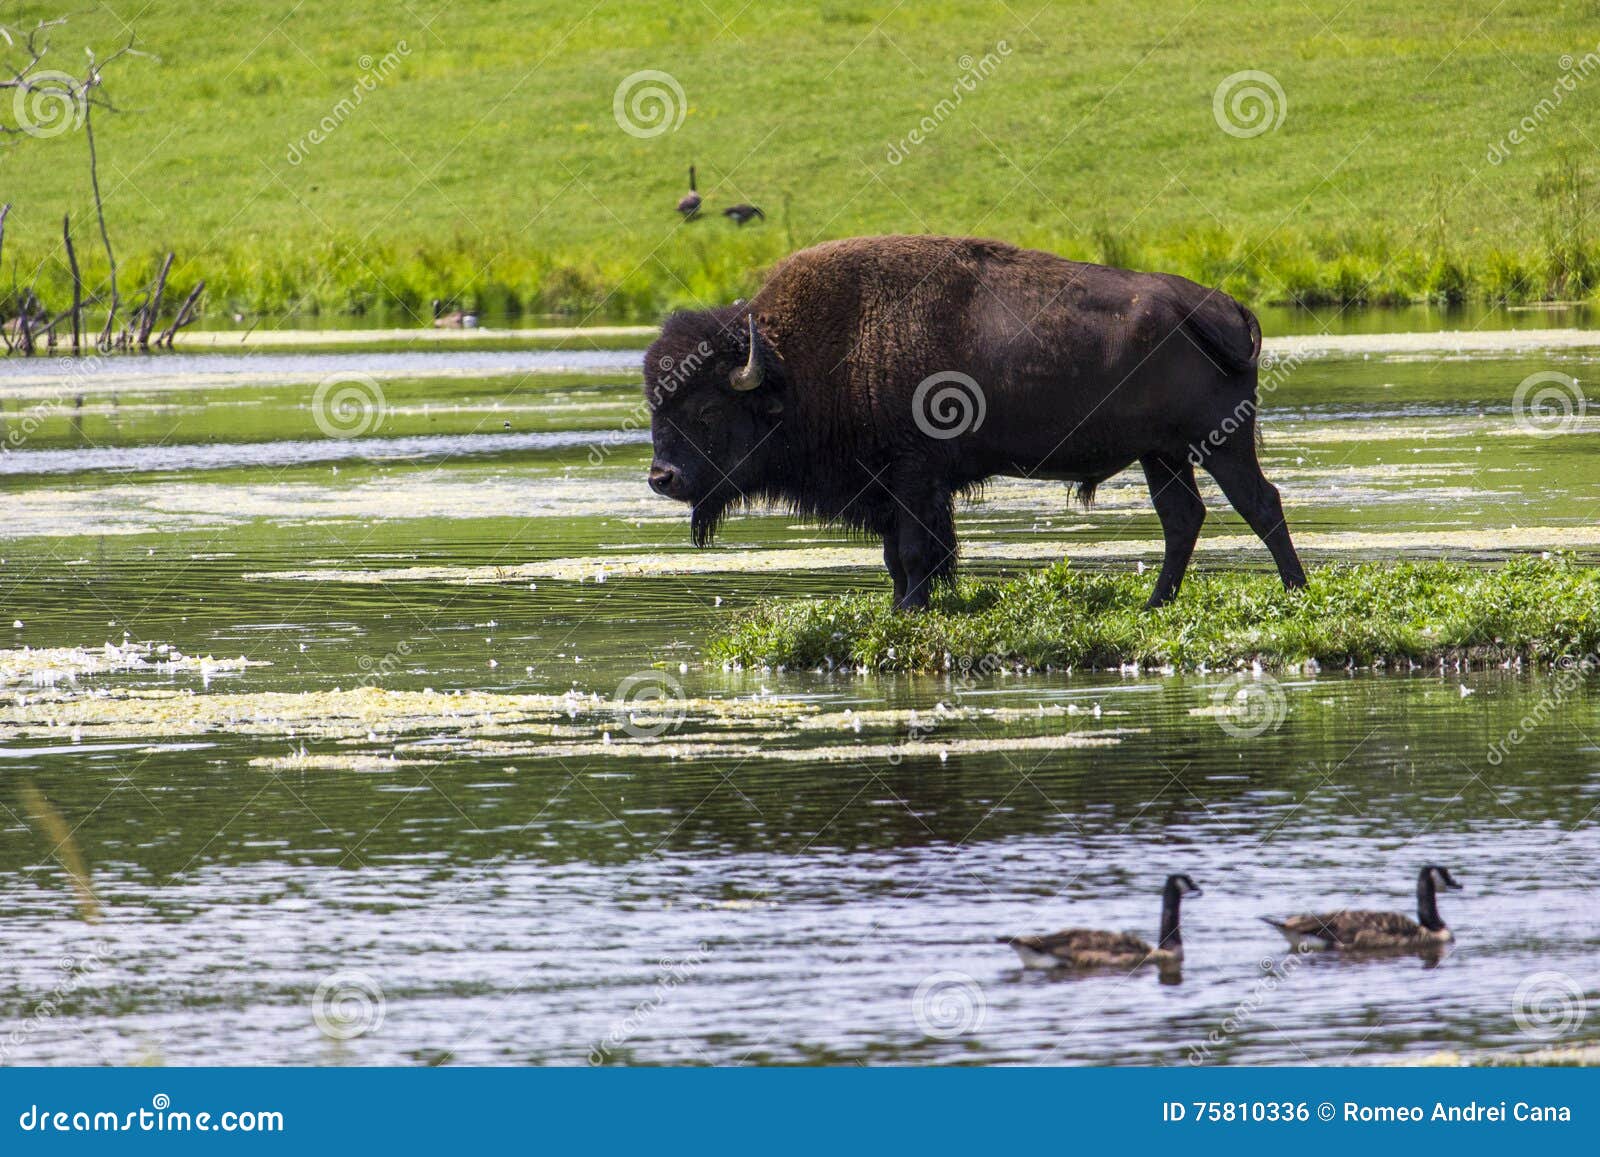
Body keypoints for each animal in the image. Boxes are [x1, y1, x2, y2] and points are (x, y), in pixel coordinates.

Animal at [644, 235, 1306, 610]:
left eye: (706, 410)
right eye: (654, 406)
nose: (662, 478)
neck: (796, 361)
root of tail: (1223, 306)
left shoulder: (914, 477)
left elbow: (915, 553)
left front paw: (909, 610)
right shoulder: (897, 489)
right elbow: (901, 555)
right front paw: (904, 607)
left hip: (1219, 442)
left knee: (1259, 503)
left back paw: (1296, 591)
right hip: (1160, 454)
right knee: (1182, 518)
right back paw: (1153, 606)